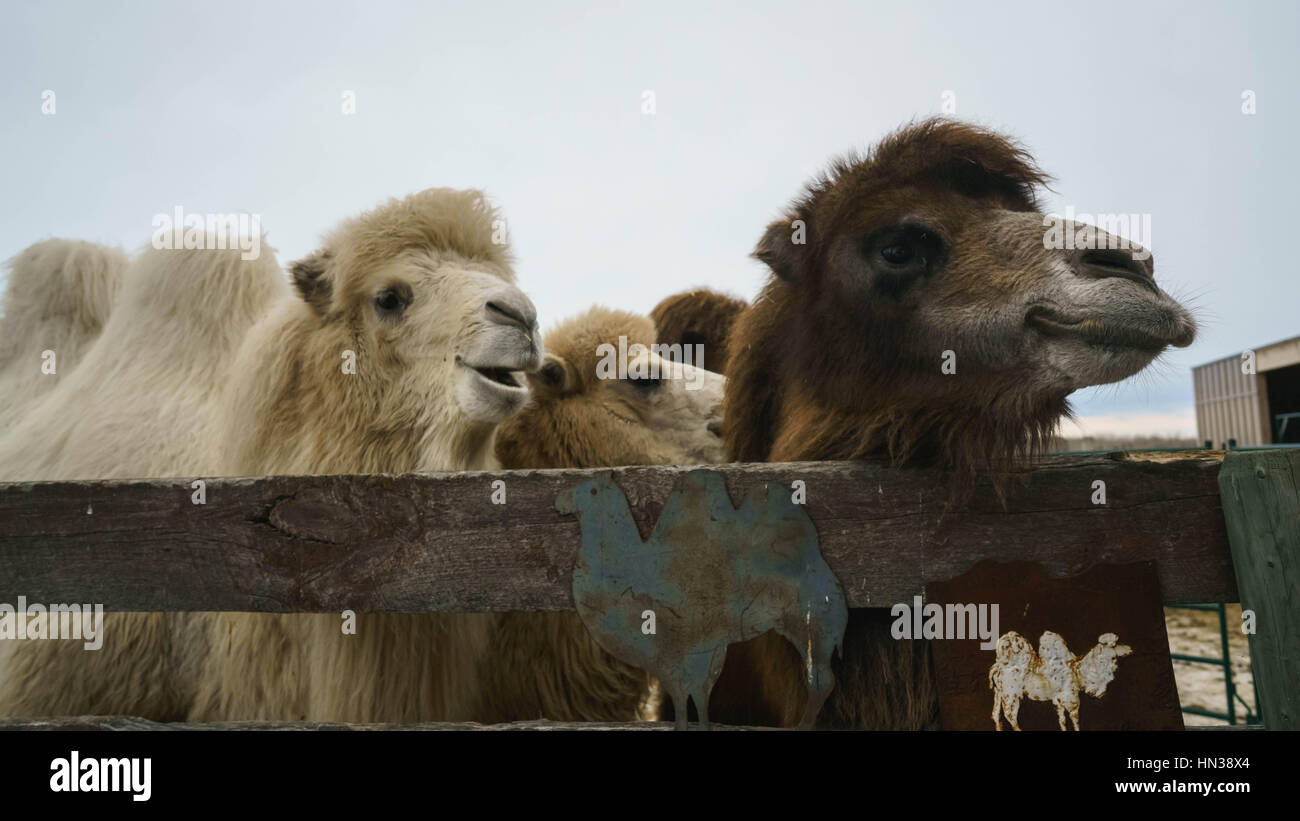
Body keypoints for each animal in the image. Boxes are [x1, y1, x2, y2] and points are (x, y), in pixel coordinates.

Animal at [989, 631, 1133, 731]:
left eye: (1114, 655)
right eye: (1105, 656)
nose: (1115, 663)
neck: (1078, 672)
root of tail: (998, 667)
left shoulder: (1059, 702)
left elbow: (1062, 720)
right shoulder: (1072, 702)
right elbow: (1075, 722)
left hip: (999, 693)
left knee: (996, 714)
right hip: (1011, 696)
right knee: (1010, 716)